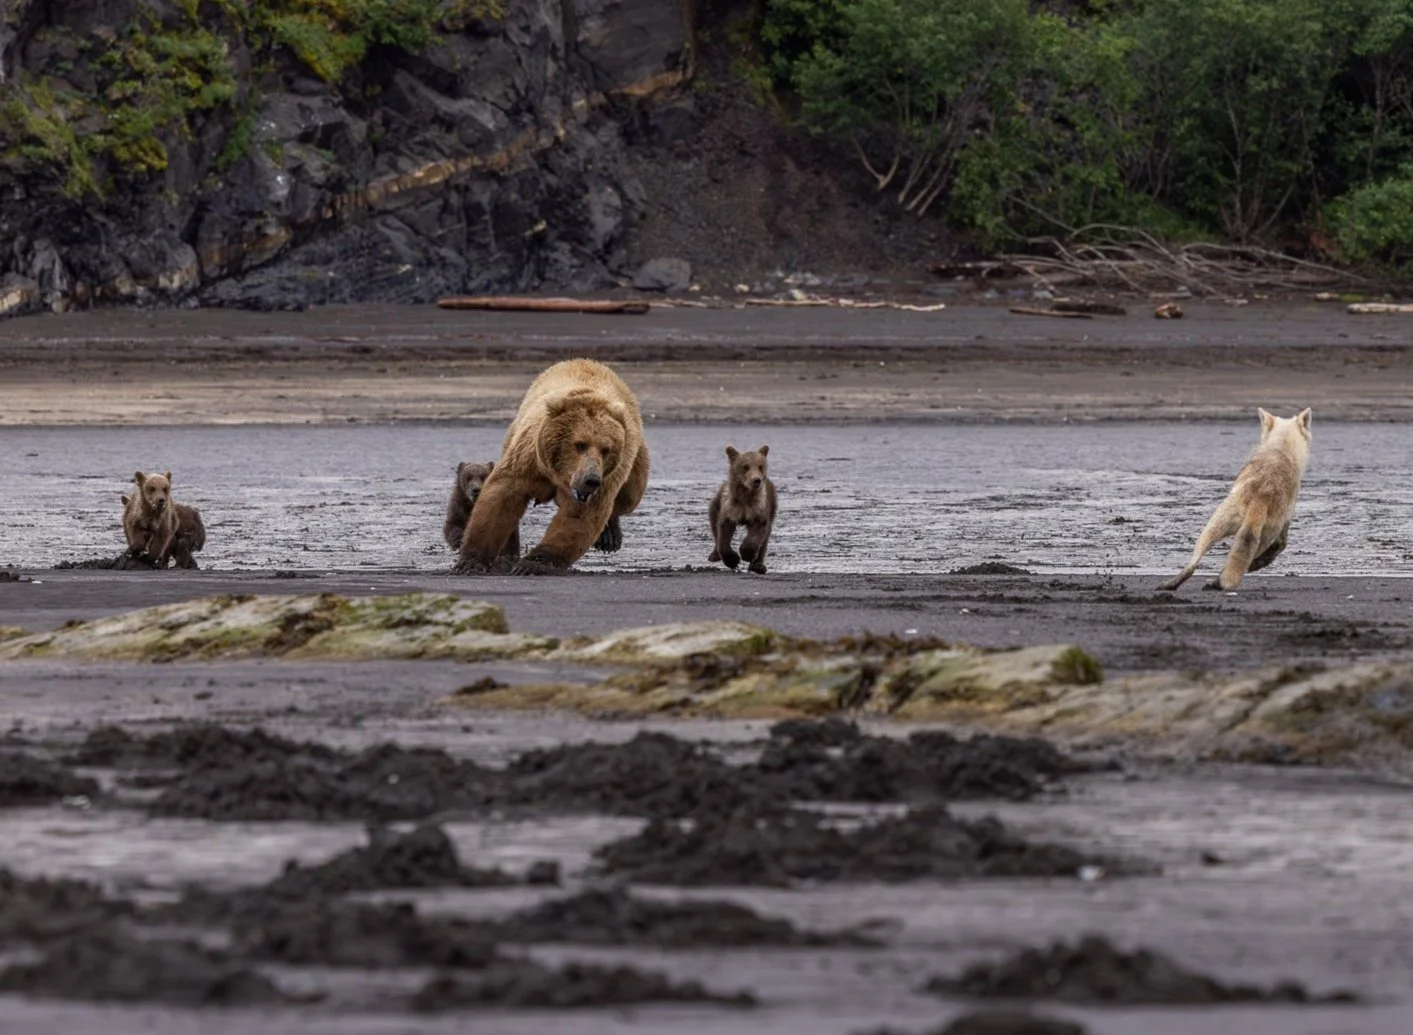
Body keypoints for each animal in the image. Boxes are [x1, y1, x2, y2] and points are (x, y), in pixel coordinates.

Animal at [454, 358, 649, 575]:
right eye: (580, 444)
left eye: (606, 449)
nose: (591, 480)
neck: (560, 474)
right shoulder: (529, 459)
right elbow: (501, 498)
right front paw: (471, 561)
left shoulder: (605, 479)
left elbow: (578, 517)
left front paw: (532, 564)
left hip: (635, 461)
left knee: (629, 496)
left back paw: (610, 536)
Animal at [708, 444, 778, 574]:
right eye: (745, 466)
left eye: (760, 466)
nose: (756, 480)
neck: (745, 497)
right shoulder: (730, 508)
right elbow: (723, 532)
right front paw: (733, 560)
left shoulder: (759, 508)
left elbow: (757, 533)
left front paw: (747, 554)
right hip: (716, 503)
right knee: (714, 525)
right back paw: (714, 555)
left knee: (765, 537)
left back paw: (758, 566)